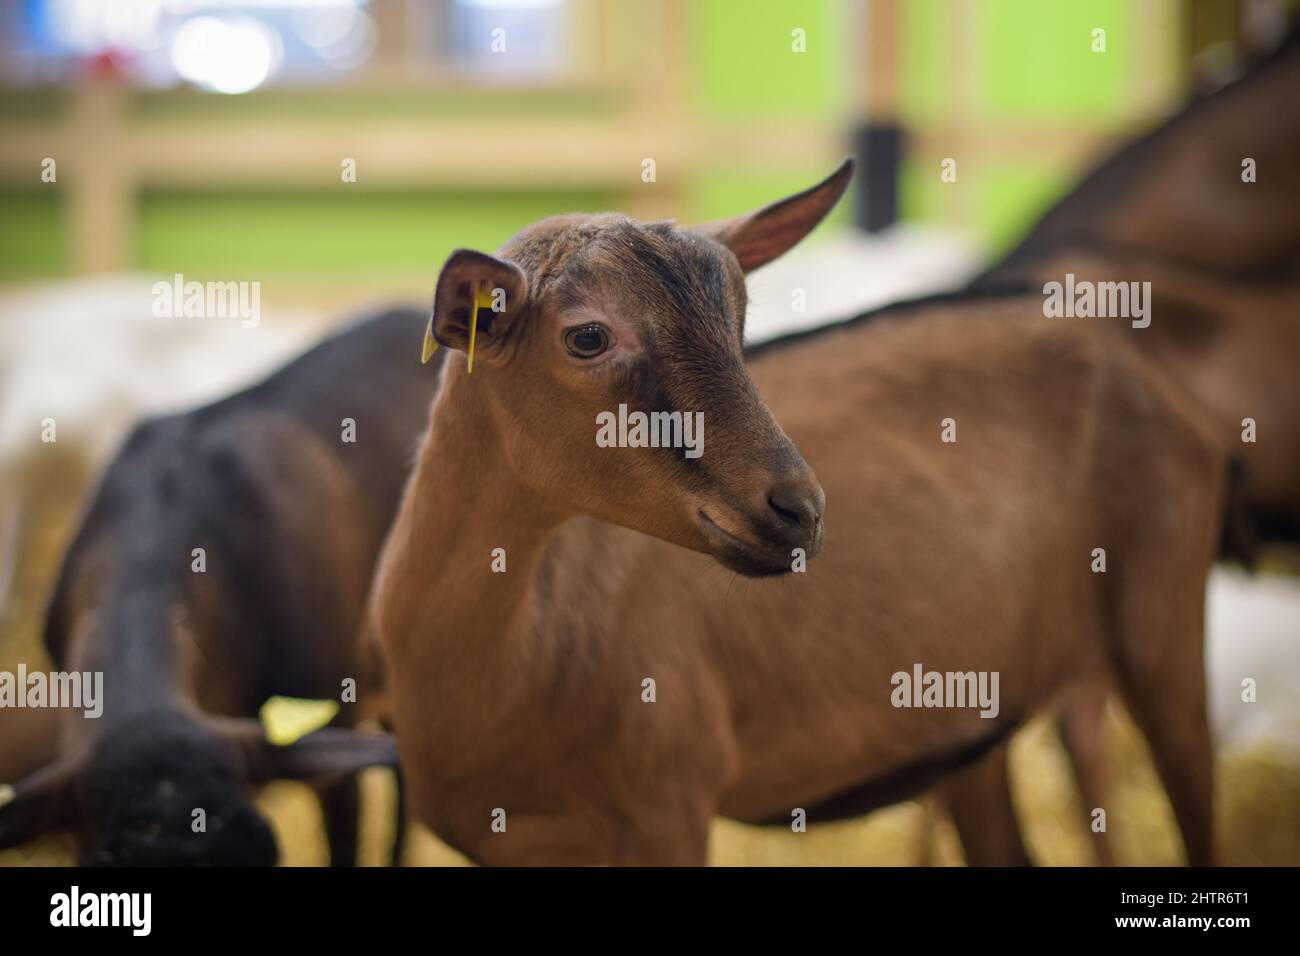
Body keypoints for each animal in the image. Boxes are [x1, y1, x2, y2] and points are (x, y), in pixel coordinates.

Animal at [370, 163, 1228, 865]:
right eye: (586, 336)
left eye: (741, 319)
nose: (798, 511)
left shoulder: (669, 804)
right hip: (974, 720)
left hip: (1163, 622)